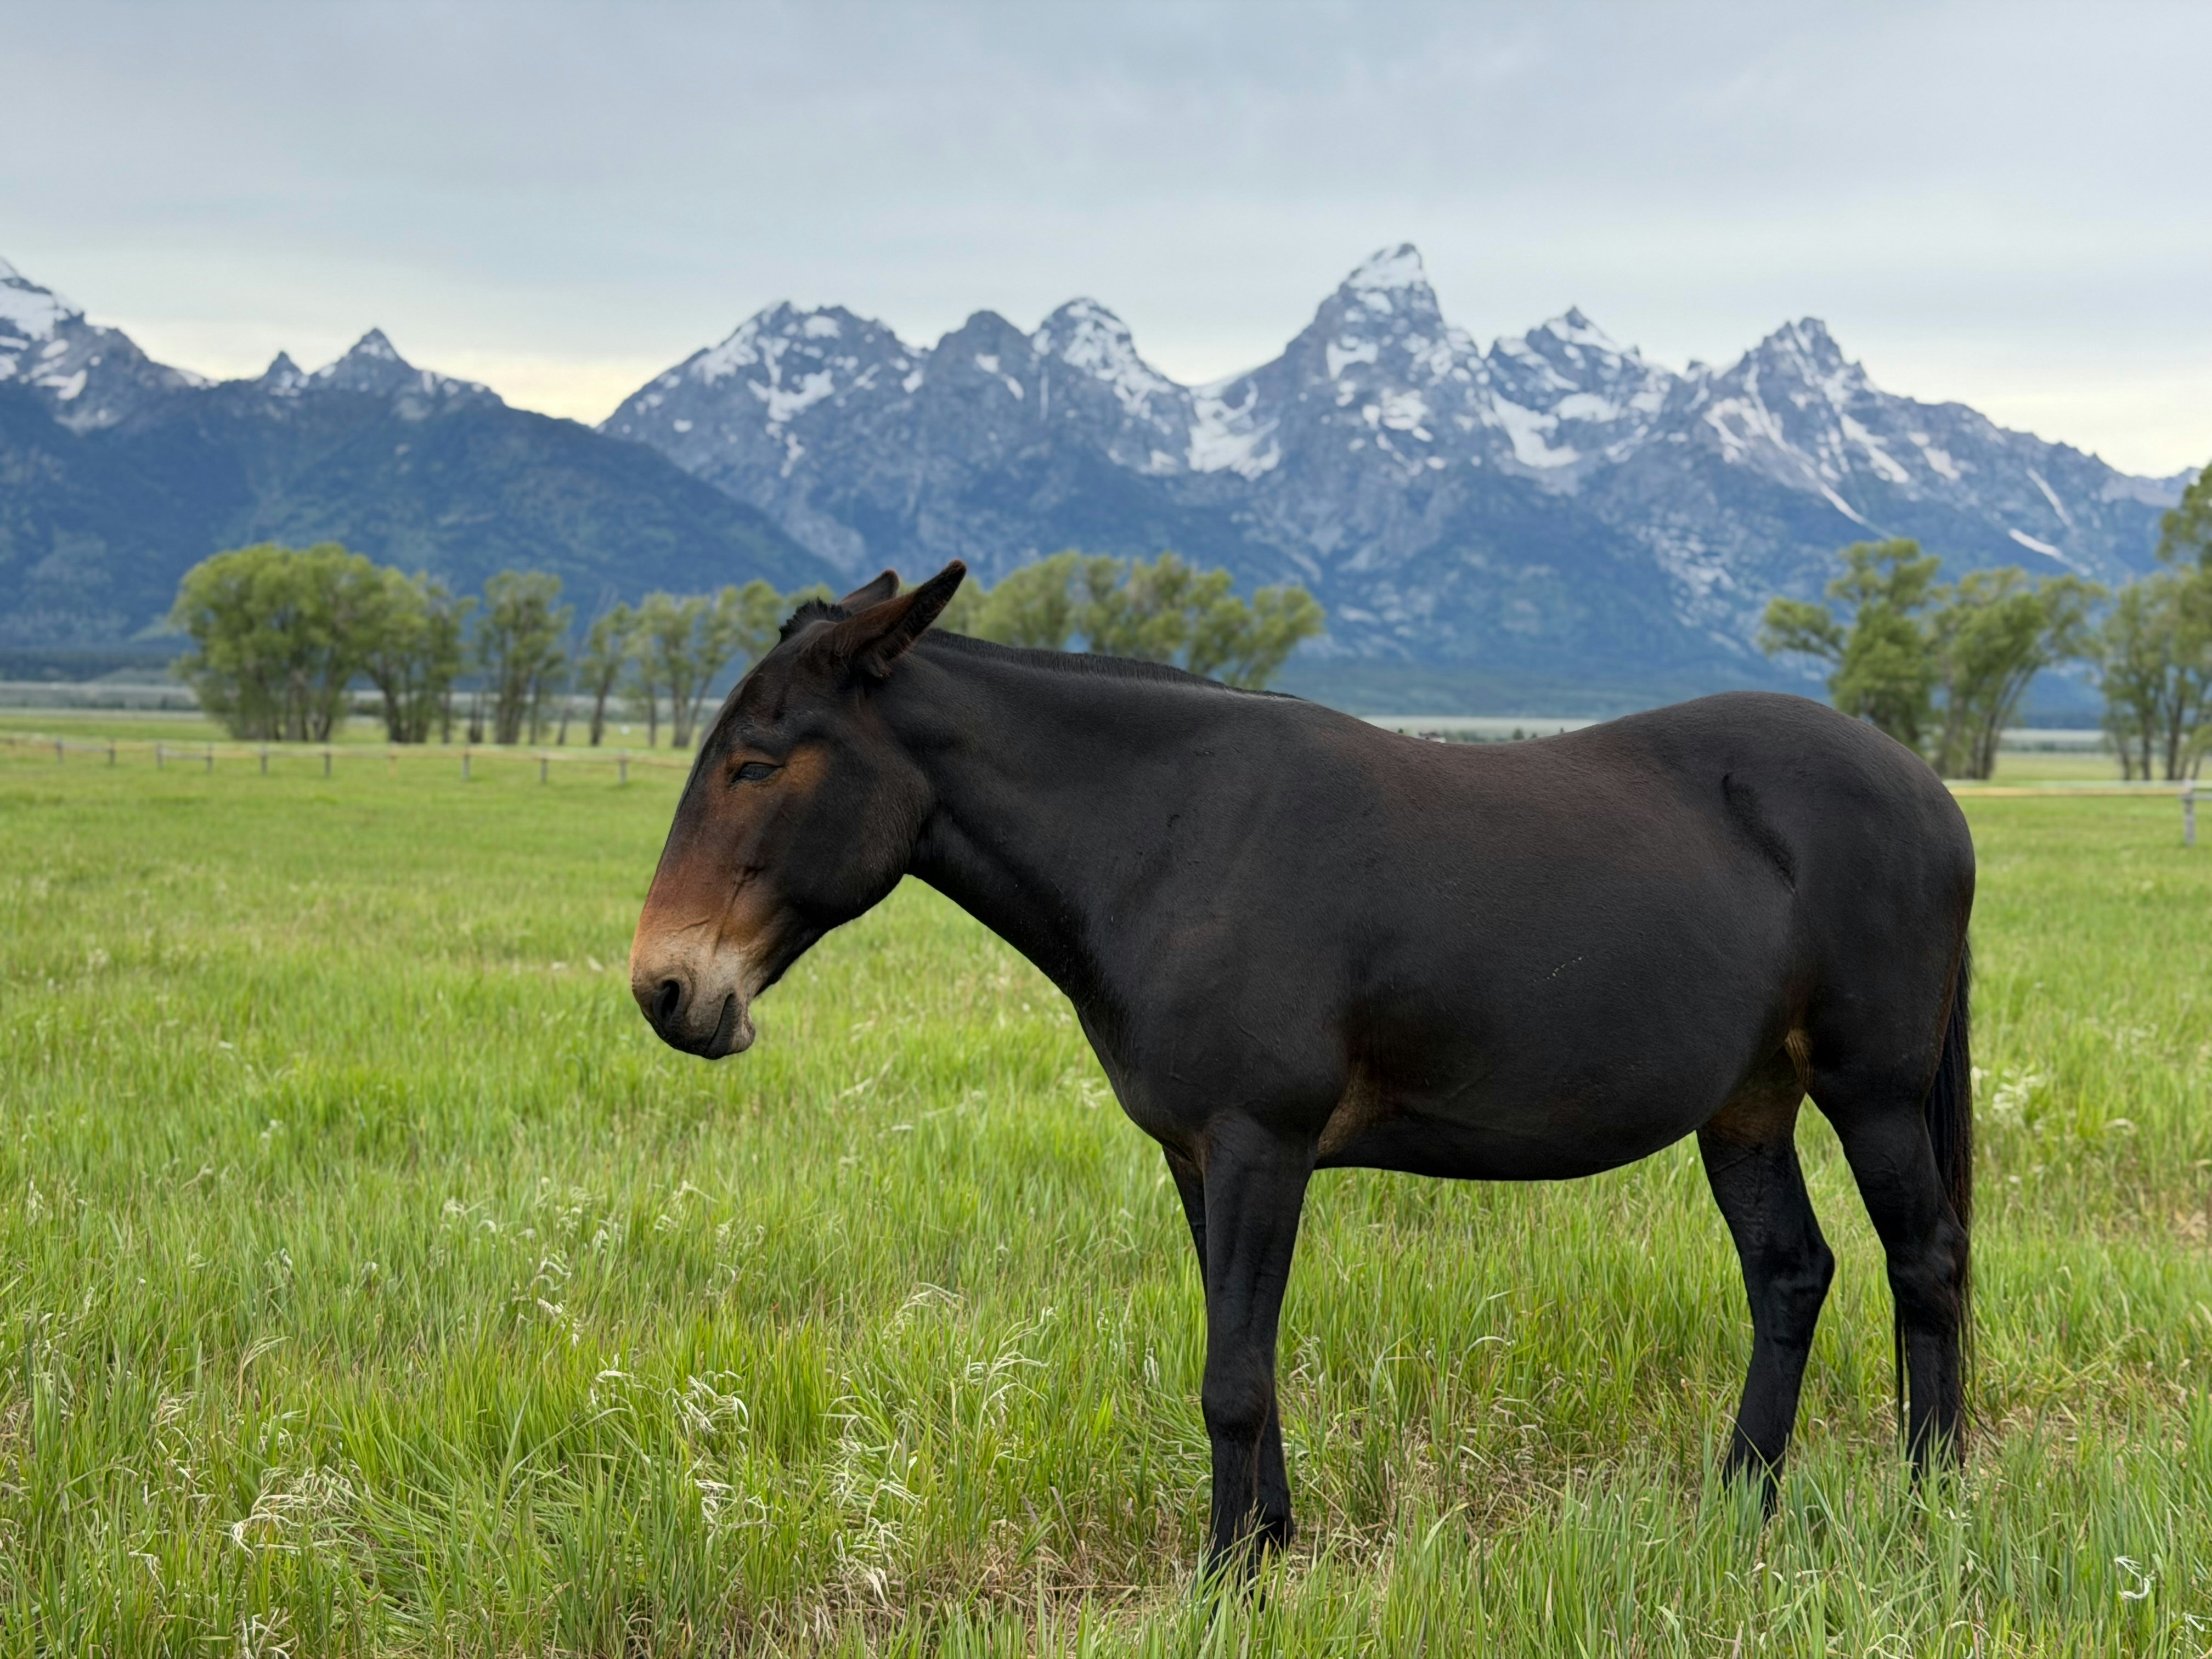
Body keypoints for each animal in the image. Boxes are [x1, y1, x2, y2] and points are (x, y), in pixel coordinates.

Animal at [628, 562, 1975, 1569]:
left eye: (757, 761)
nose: (667, 989)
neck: (1167, 840)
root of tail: (1925, 786)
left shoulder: (1258, 1147)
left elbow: (1231, 1375)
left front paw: (1225, 1579)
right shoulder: (1196, 1159)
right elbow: (1246, 1358)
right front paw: (1270, 1543)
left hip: (1871, 1092)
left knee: (1927, 1263)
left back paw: (1931, 1498)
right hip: (1748, 1102)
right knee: (1790, 1274)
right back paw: (1740, 1501)